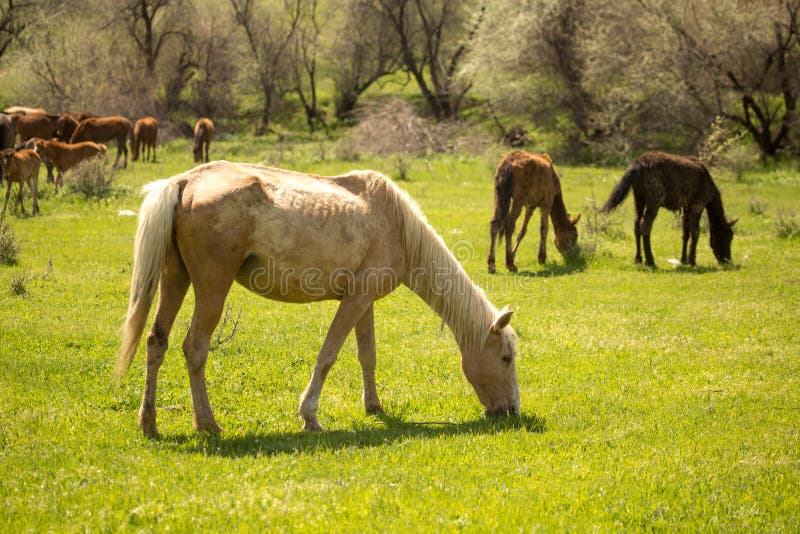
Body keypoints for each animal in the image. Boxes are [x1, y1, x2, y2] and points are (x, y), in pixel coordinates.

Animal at [117, 161, 520, 437]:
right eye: (505, 358)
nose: (512, 411)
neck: (397, 226)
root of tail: (185, 181)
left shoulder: (365, 303)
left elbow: (367, 355)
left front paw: (373, 406)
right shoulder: (354, 301)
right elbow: (328, 355)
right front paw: (309, 415)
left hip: (174, 279)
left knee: (156, 341)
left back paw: (149, 423)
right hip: (212, 288)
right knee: (195, 347)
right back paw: (207, 423)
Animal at [601, 151, 736, 267]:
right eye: (728, 236)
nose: (727, 260)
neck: (711, 194)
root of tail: (638, 164)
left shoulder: (686, 207)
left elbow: (685, 232)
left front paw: (683, 259)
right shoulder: (698, 204)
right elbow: (695, 232)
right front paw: (692, 261)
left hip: (638, 196)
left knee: (636, 224)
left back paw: (638, 259)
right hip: (655, 198)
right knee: (645, 225)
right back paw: (650, 261)